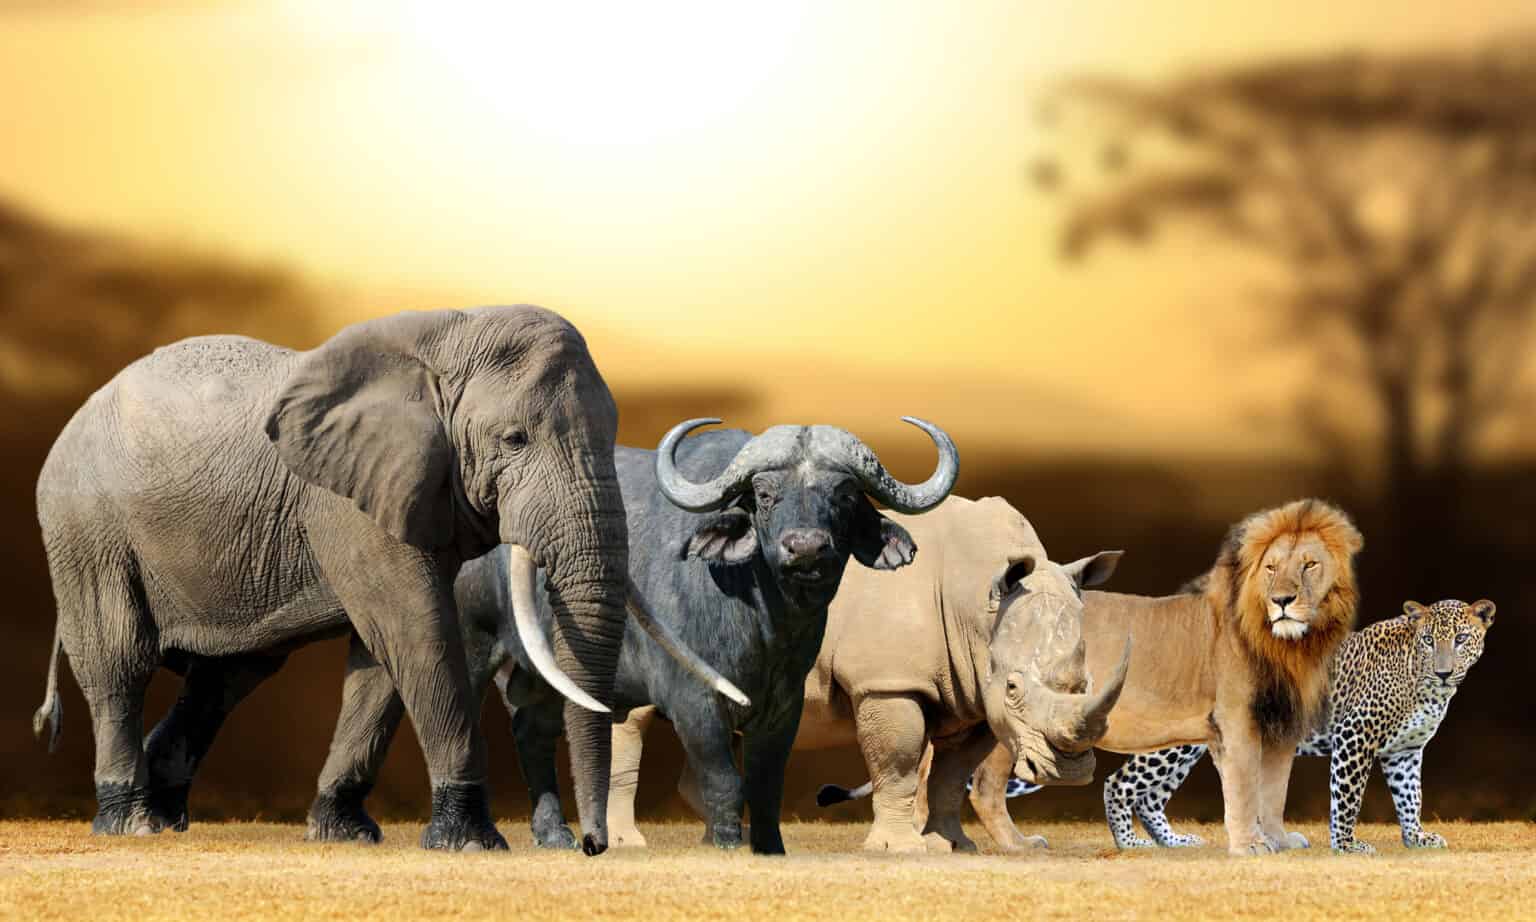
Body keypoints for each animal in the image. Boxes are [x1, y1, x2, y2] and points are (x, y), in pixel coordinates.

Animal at [963, 498, 1363, 855]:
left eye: (1309, 565)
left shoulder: (1280, 724)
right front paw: (1249, 845)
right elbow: (1246, 789)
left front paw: (1278, 841)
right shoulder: (1237, 721)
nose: (1282, 600)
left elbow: (1273, 792)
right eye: (1271, 568)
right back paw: (1015, 845)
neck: (1291, 645)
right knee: (983, 785)